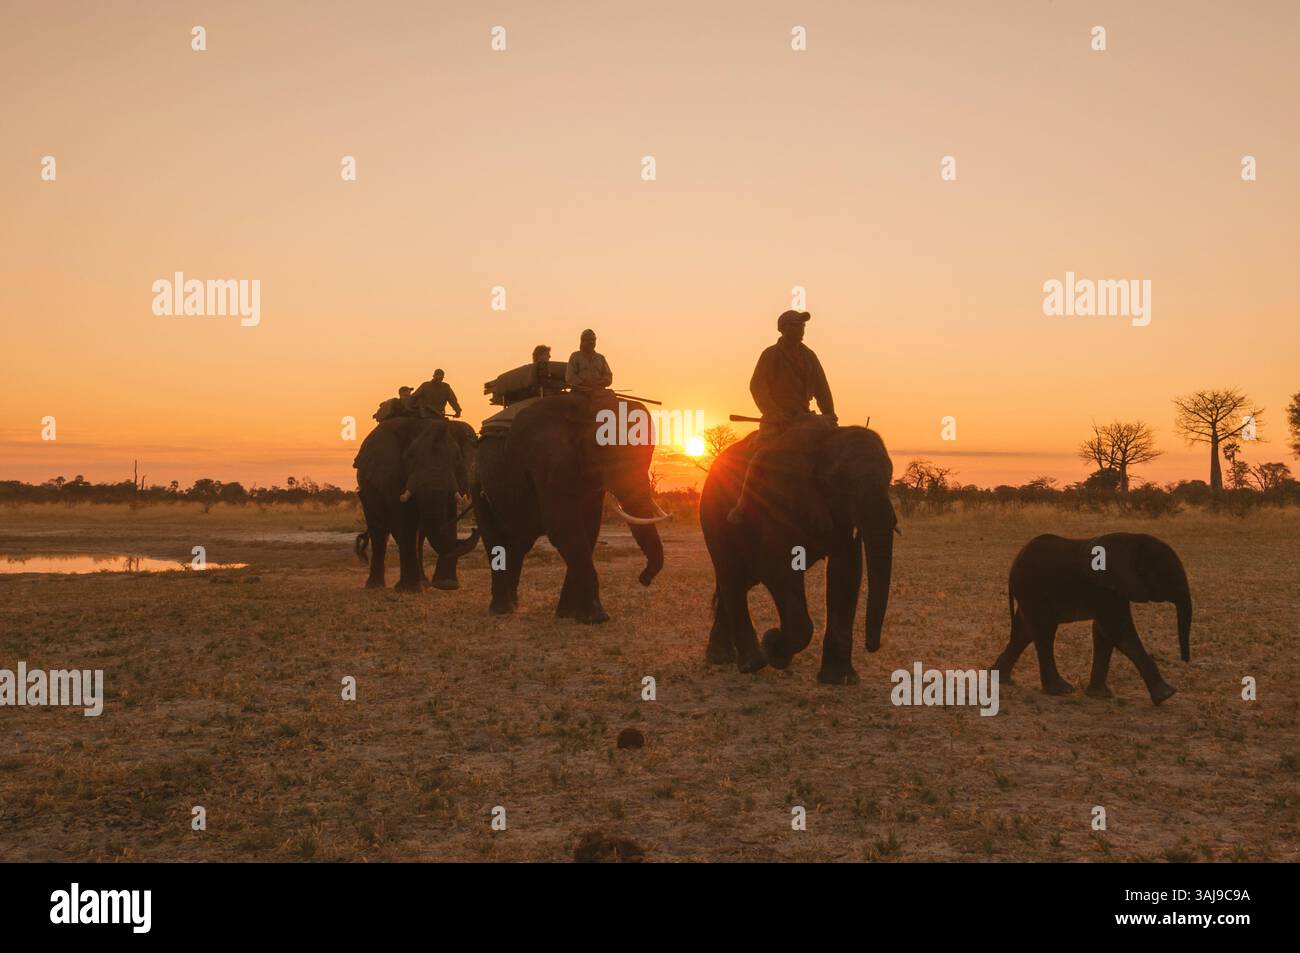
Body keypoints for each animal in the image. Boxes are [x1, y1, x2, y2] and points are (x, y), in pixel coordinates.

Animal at [354, 416, 480, 592]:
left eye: (457, 458)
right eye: (410, 456)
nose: (474, 529)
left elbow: (449, 514)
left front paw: (446, 586)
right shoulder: (393, 475)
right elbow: (404, 520)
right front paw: (409, 590)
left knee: (419, 536)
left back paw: (424, 583)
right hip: (367, 493)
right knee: (379, 531)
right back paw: (375, 586)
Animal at [472, 392, 668, 622]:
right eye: (607, 450)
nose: (644, 578)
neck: (584, 406)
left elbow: (589, 529)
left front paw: (569, 615)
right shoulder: (546, 460)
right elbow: (565, 528)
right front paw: (597, 617)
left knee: (519, 542)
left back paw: (514, 606)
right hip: (476, 479)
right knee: (494, 538)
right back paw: (501, 610)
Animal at [700, 418, 897, 684]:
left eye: (889, 478)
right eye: (837, 480)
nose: (871, 646)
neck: (828, 437)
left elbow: (846, 570)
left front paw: (839, 680)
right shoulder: (775, 500)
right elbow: (775, 566)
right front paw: (773, 646)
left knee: (738, 579)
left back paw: (724, 658)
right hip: (713, 511)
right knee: (732, 573)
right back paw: (750, 663)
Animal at [993, 533, 1192, 704]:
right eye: (1165, 575)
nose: (1185, 660)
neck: (1132, 540)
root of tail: (1015, 562)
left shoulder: (1113, 588)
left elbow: (1103, 632)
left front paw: (1100, 695)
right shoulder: (1105, 588)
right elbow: (1119, 630)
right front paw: (1167, 694)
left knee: (1025, 632)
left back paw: (1001, 679)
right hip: (1033, 590)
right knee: (1044, 631)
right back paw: (1061, 690)